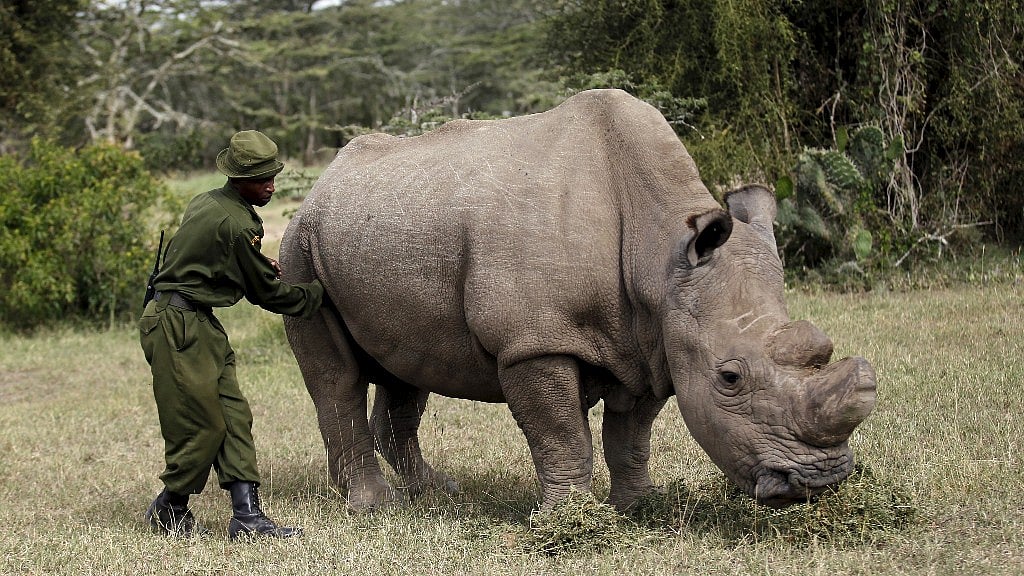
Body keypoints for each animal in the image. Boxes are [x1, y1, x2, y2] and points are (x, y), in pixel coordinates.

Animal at [280, 88, 877, 512]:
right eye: (729, 378)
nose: (818, 481)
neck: (660, 251)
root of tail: (322, 184)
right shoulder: (534, 339)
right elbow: (561, 432)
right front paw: (568, 518)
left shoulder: (650, 339)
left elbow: (631, 434)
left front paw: (639, 507)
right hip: (298, 251)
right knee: (337, 379)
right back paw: (375, 508)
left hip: (380, 236)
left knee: (410, 368)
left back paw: (436, 493)